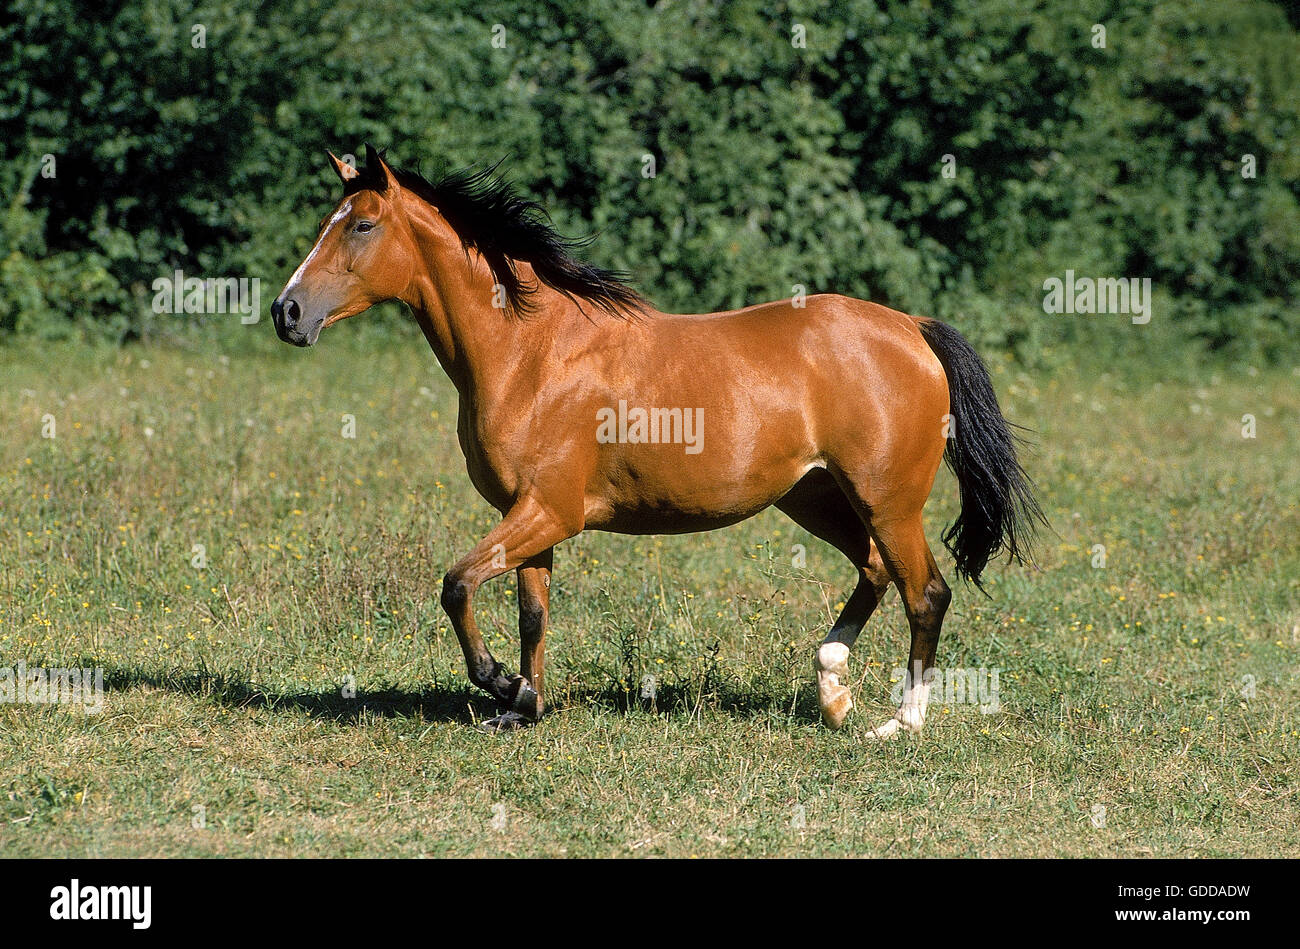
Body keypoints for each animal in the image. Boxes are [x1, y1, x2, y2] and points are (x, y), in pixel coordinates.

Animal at [271, 144, 1044, 733]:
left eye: (362, 225)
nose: (287, 312)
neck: (531, 353)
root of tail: (912, 328)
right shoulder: (528, 517)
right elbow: (531, 615)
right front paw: (523, 707)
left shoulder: (550, 511)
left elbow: (457, 584)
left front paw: (501, 685)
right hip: (819, 498)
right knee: (878, 573)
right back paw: (833, 693)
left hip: (887, 501)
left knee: (926, 592)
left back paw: (899, 723)